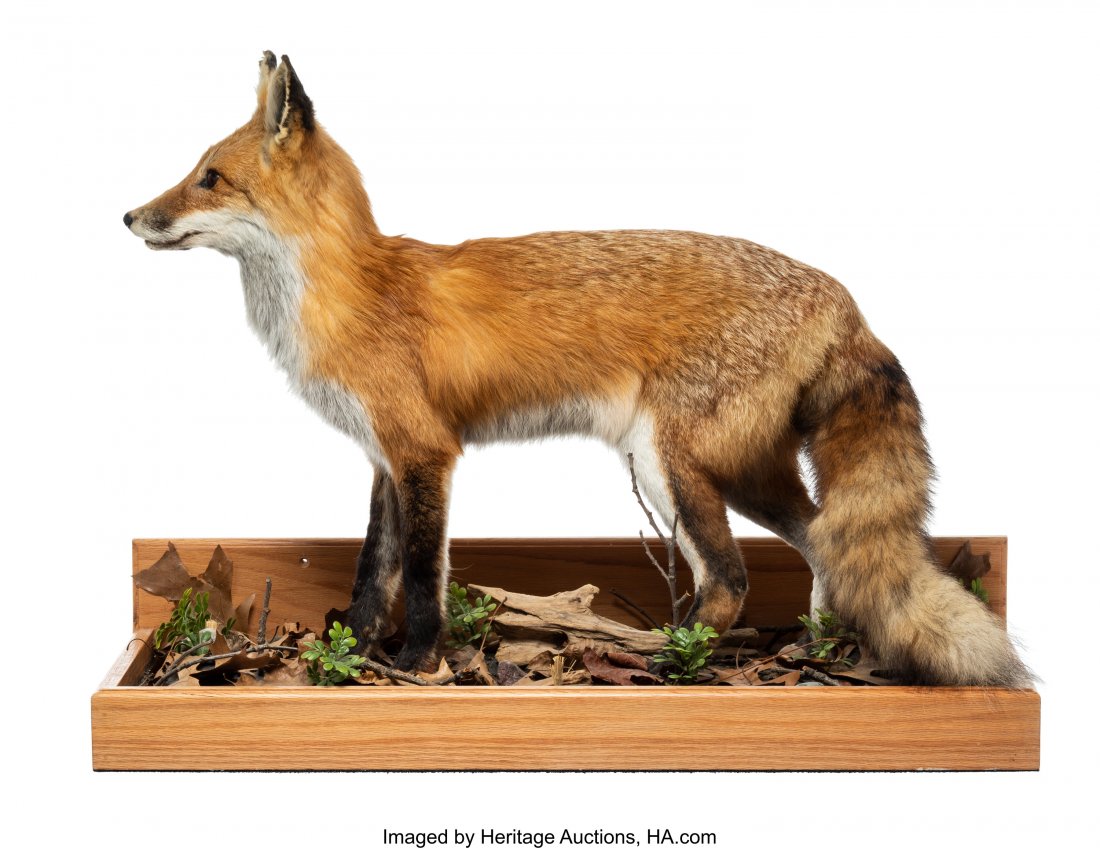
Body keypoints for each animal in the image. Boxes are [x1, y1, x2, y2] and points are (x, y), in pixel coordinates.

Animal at [124, 51, 1029, 685]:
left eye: (209, 177)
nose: (130, 215)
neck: (352, 289)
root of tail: (843, 296)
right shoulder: (385, 456)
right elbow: (372, 569)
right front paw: (356, 645)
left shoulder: (425, 453)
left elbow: (421, 575)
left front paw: (417, 664)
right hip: (735, 471)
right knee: (826, 546)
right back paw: (813, 650)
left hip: (673, 463)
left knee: (733, 579)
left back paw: (673, 660)